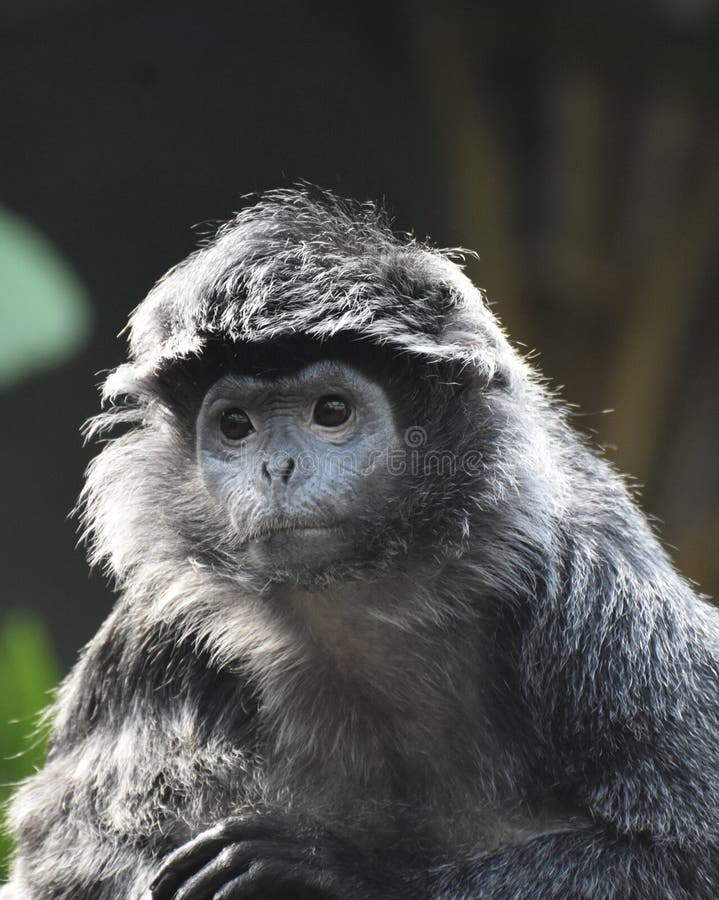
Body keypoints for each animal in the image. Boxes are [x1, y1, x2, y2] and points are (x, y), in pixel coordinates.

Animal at [2, 188, 719, 899]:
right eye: (235, 425)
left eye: (331, 412)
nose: (277, 468)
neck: (359, 593)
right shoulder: (164, 614)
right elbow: (63, 852)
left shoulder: (592, 591)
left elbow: (685, 857)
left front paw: (334, 871)